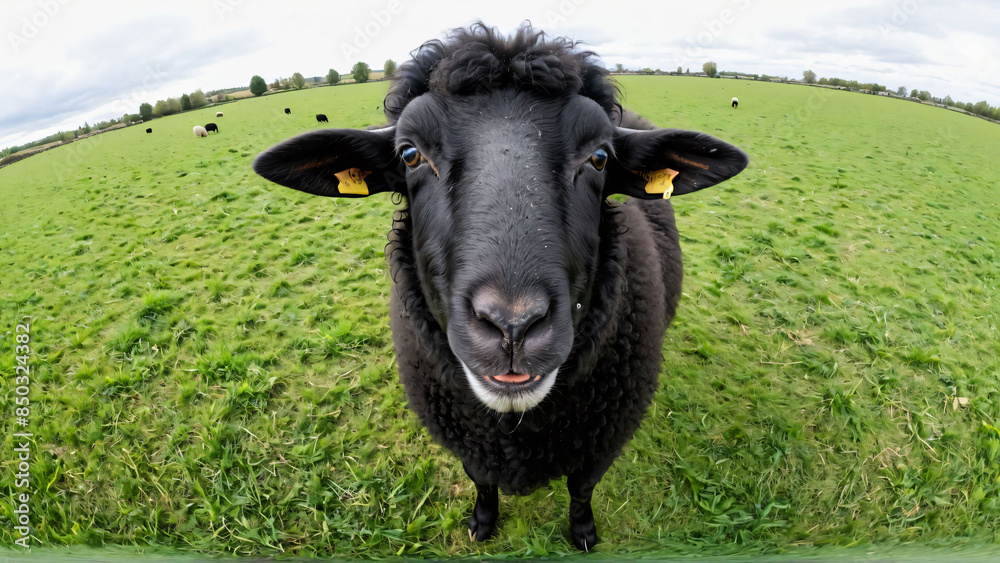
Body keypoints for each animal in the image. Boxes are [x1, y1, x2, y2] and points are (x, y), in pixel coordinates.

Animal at [253, 23, 747, 551]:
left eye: (598, 158)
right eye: (410, 154)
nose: (513, 327)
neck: (514, 429)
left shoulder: (601, 443)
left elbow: (581, 489)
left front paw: (582, 532)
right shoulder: (469, 441)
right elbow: (481, 481)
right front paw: (483, 523)